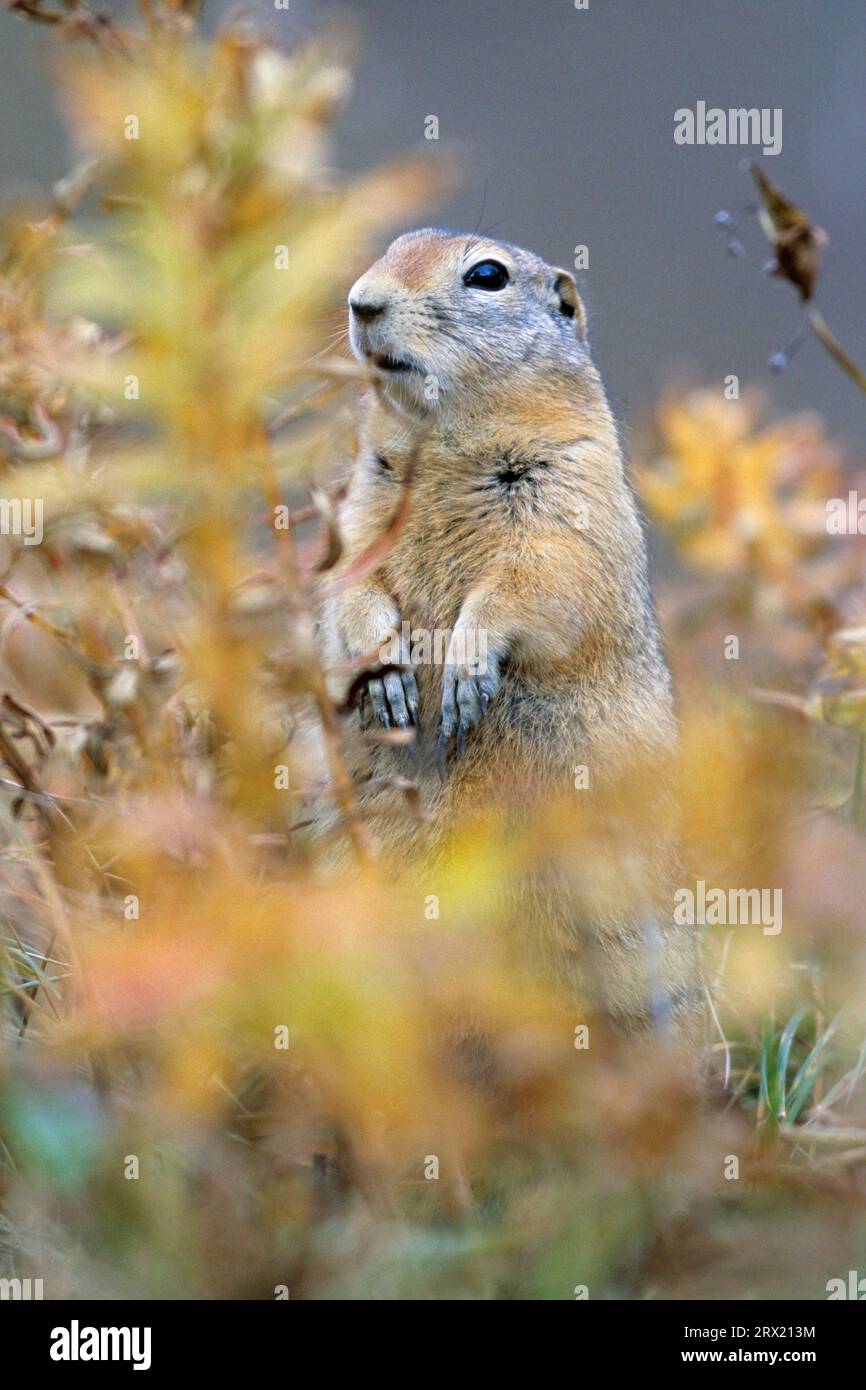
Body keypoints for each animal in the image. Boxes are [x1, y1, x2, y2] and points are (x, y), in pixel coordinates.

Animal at [320, 229, 703, 1041]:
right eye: (396, 244)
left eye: (487, 276)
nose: (361, 302)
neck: (442, 442)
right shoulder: (361, 506)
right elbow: (347, 587)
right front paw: (387, 674)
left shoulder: (568, 500)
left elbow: (528, 587)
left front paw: (464, 672)